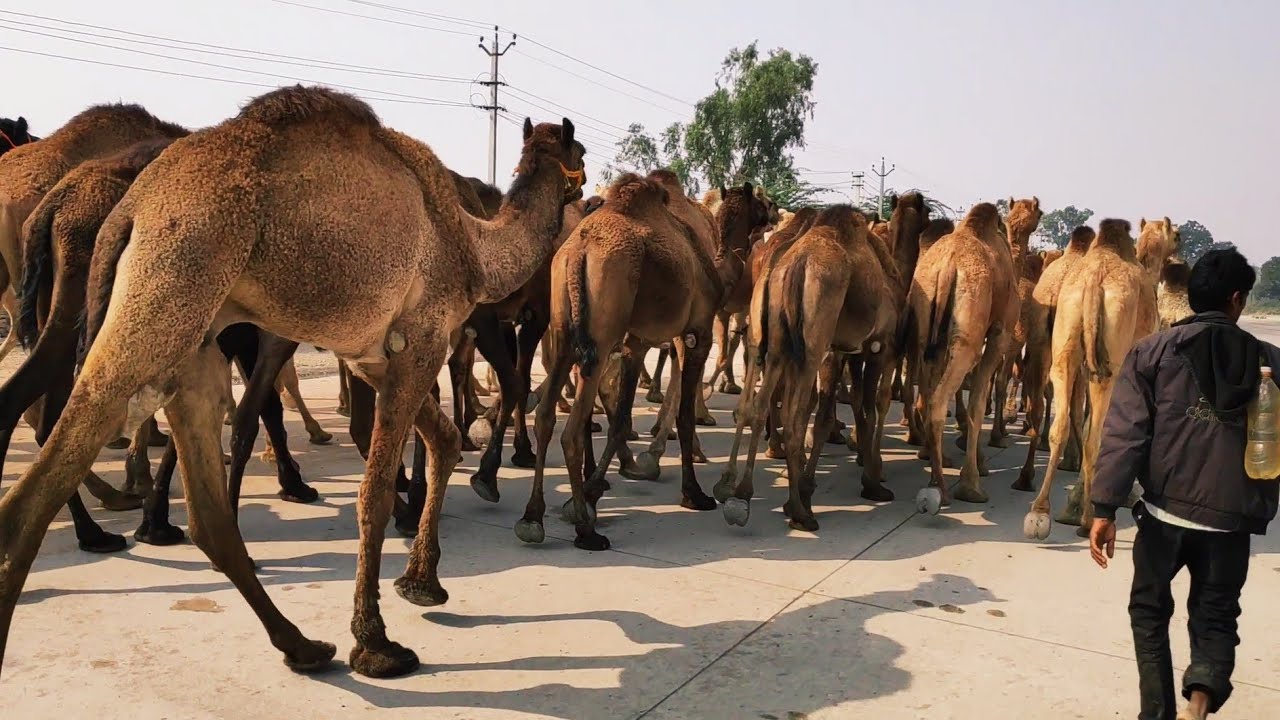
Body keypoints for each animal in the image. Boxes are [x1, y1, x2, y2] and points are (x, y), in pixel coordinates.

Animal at [0, 86, 585, 679]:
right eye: (580, 156)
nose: (582, 204)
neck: (473, 244)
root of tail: (130, 209)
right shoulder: (422, 340)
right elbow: (376, 489)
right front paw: (375, 641)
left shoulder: (375, 357)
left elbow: (440, 440)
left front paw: (422, 582)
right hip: (172, 279)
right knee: (39, 485)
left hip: (191, 335)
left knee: (207, 509)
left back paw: (300, 644)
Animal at [717, 205, 892, 531]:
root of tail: (797, 265)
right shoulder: (877, 347)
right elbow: (870, 409)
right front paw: (873, 481)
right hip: (812, 346)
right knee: (795, 417)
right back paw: (799, 510)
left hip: (773, 342)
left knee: (757, 403)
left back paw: (737, 490)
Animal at [908, 203, 1018, 512]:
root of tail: (948, 267)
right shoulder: (1000, 332)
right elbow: (978, 403)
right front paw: (974, 480)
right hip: (969, 329)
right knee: (938, 399)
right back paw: (945, 490)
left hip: (926, 324)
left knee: (927, 394)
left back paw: (936, 475)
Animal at [1010, 225, 1096, 490]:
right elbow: (1077, 410)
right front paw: (1076, 462)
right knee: (1071, 410)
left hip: (1039, 341)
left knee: (1038, 401)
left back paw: (1025, 476)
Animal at [1024, 217, 1179, 540]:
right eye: (1177, 235)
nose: (1178, 250)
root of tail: (1093, 282)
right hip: (1109, 365)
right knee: (1095, 436)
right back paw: (1087, 521)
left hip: (1064, 344)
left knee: (1060, 421)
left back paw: (1039, 512)